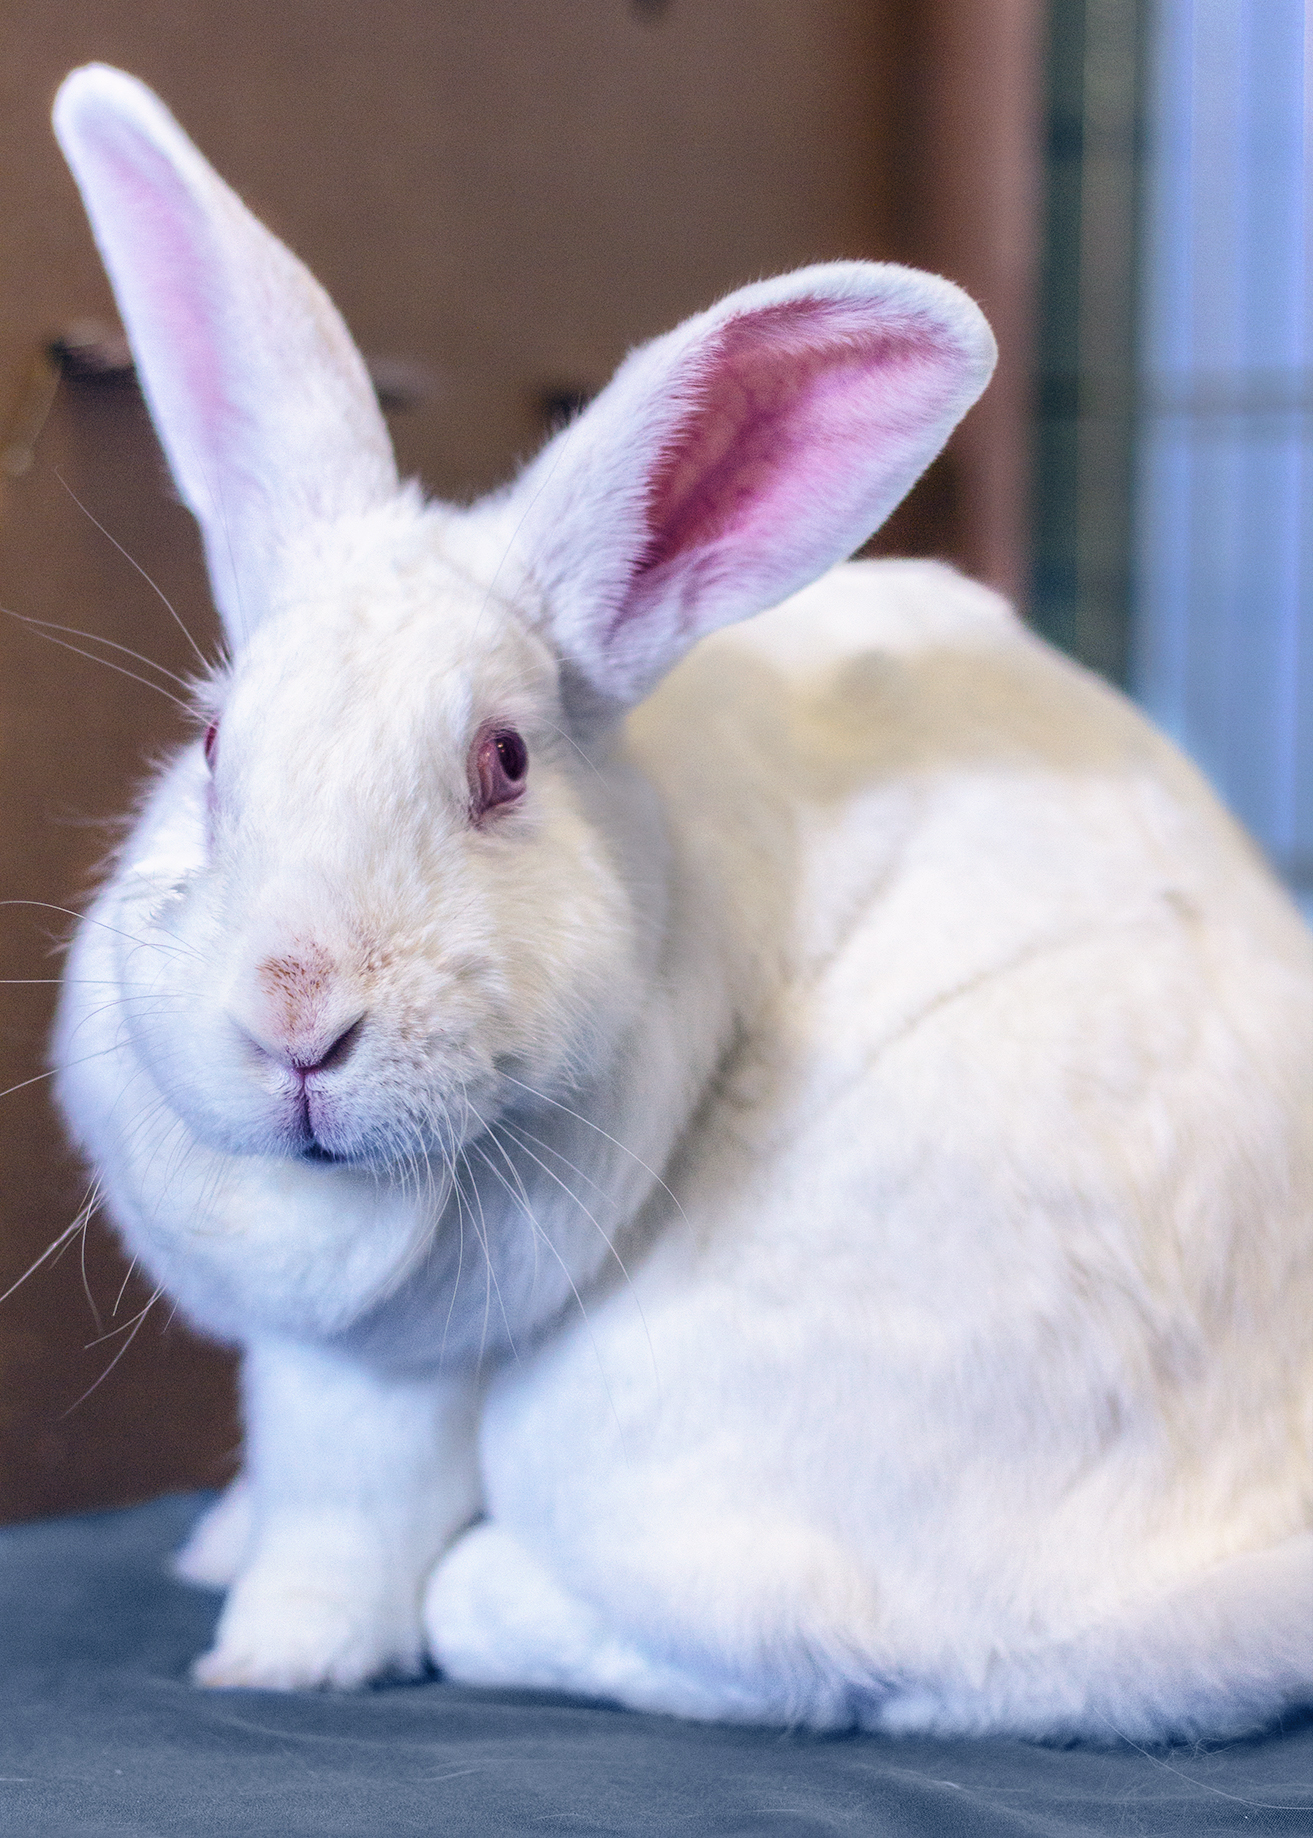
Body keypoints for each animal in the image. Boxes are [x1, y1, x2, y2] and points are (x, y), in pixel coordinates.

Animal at [48, 63, 1313, 1743]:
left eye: (503, 763)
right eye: (209, 743)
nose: (297, 1017)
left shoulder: (403, 1378)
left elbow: (358, 1517)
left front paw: (280, 1656)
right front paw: (237, 1585)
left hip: (641, 1453)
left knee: (815, 1658)